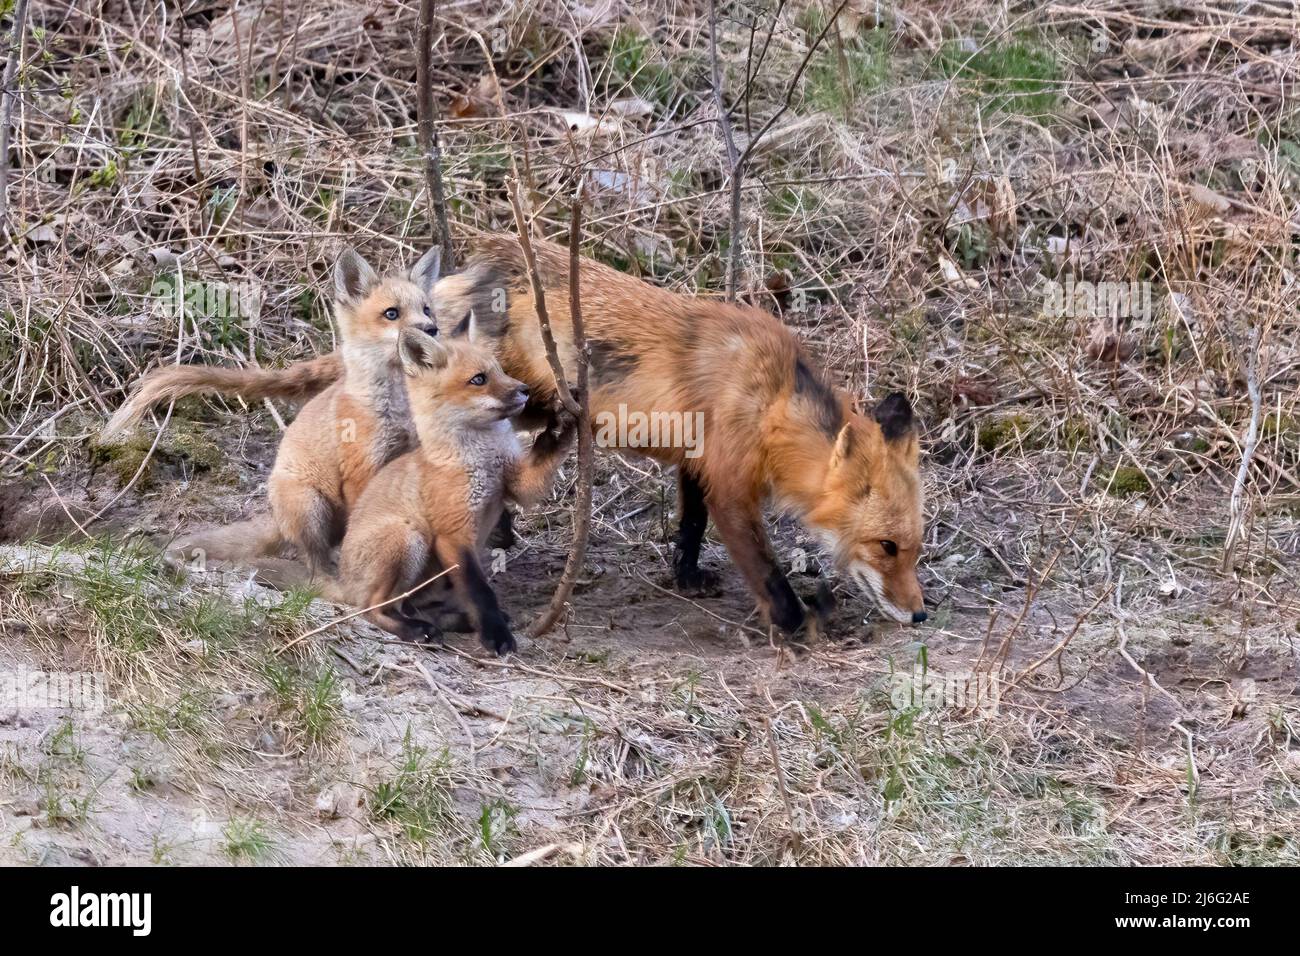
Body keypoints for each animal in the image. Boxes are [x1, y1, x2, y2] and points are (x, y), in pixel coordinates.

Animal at [101, 248, 443, 573]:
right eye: (392, 313)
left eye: (426, 309)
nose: (432, 329)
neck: (397, 407)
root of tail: (278, 521)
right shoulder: (361, 468)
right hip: (309, 503)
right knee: (312, 557)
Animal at [336, 323, 576, 653]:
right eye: (479, 379)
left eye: (500, 370)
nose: (525, 389)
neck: (483, 461)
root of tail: (342, 579)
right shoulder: (453, 533)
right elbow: (480, 592)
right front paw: (495, 635)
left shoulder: (517, 484)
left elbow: (545, 457)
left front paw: (563, 420)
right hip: (407, 537)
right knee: (371, 607)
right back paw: (414, 629)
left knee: (421, 608)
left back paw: (453, 621)